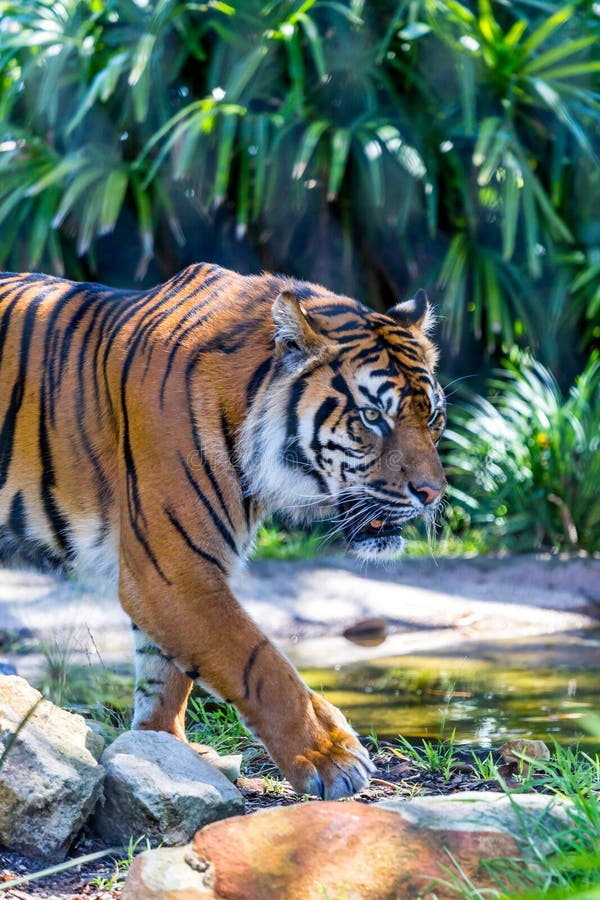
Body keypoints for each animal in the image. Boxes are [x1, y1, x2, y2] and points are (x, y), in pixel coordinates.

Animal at [0, 263, 446, 799]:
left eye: (433, 416)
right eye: (373, 416)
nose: (433, 492)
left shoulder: (171, 573)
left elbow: (164, 674)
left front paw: (164, 749)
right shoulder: (174, 572)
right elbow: (259, 662)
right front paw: (329, 756)